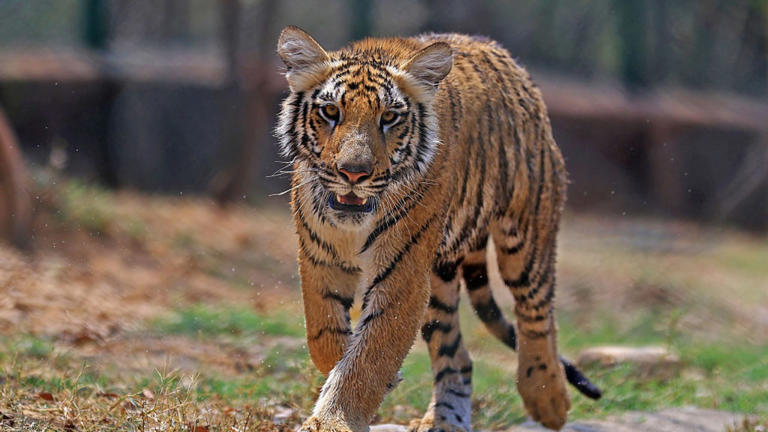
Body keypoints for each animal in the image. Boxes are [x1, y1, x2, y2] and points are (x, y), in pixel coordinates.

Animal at [275, 26, 601, 432]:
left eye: (389, 117)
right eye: (331, 112)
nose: (354, 173)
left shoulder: (402, 275)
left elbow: (369, 356)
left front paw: (335, 420)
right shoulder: (320, 256)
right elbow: (322, 333)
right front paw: (367, 374)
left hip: (525, 238)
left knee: (538, 315)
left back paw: (547, 398)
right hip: (439, 281)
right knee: (457, 356)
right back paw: (443, 420)